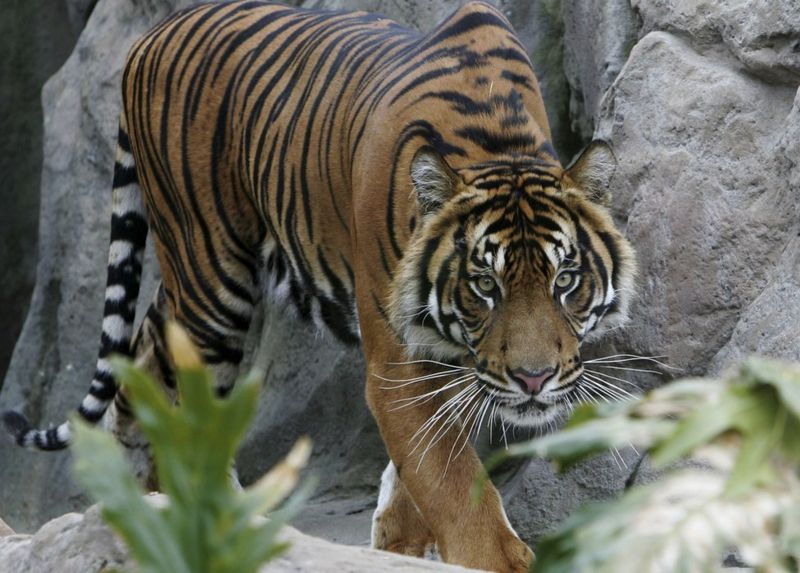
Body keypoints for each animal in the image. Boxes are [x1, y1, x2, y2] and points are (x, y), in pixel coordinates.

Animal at [3, 1, 635, 570]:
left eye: (565, 280)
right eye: (485, 285)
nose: (535, 379)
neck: (498, 145)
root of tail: (152, 34)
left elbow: (420, 475)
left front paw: (396, 545)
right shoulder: (397, 364)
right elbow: (452, 484)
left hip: (188, 281)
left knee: (143, 356)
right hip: (211, 276)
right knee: (193, 408)